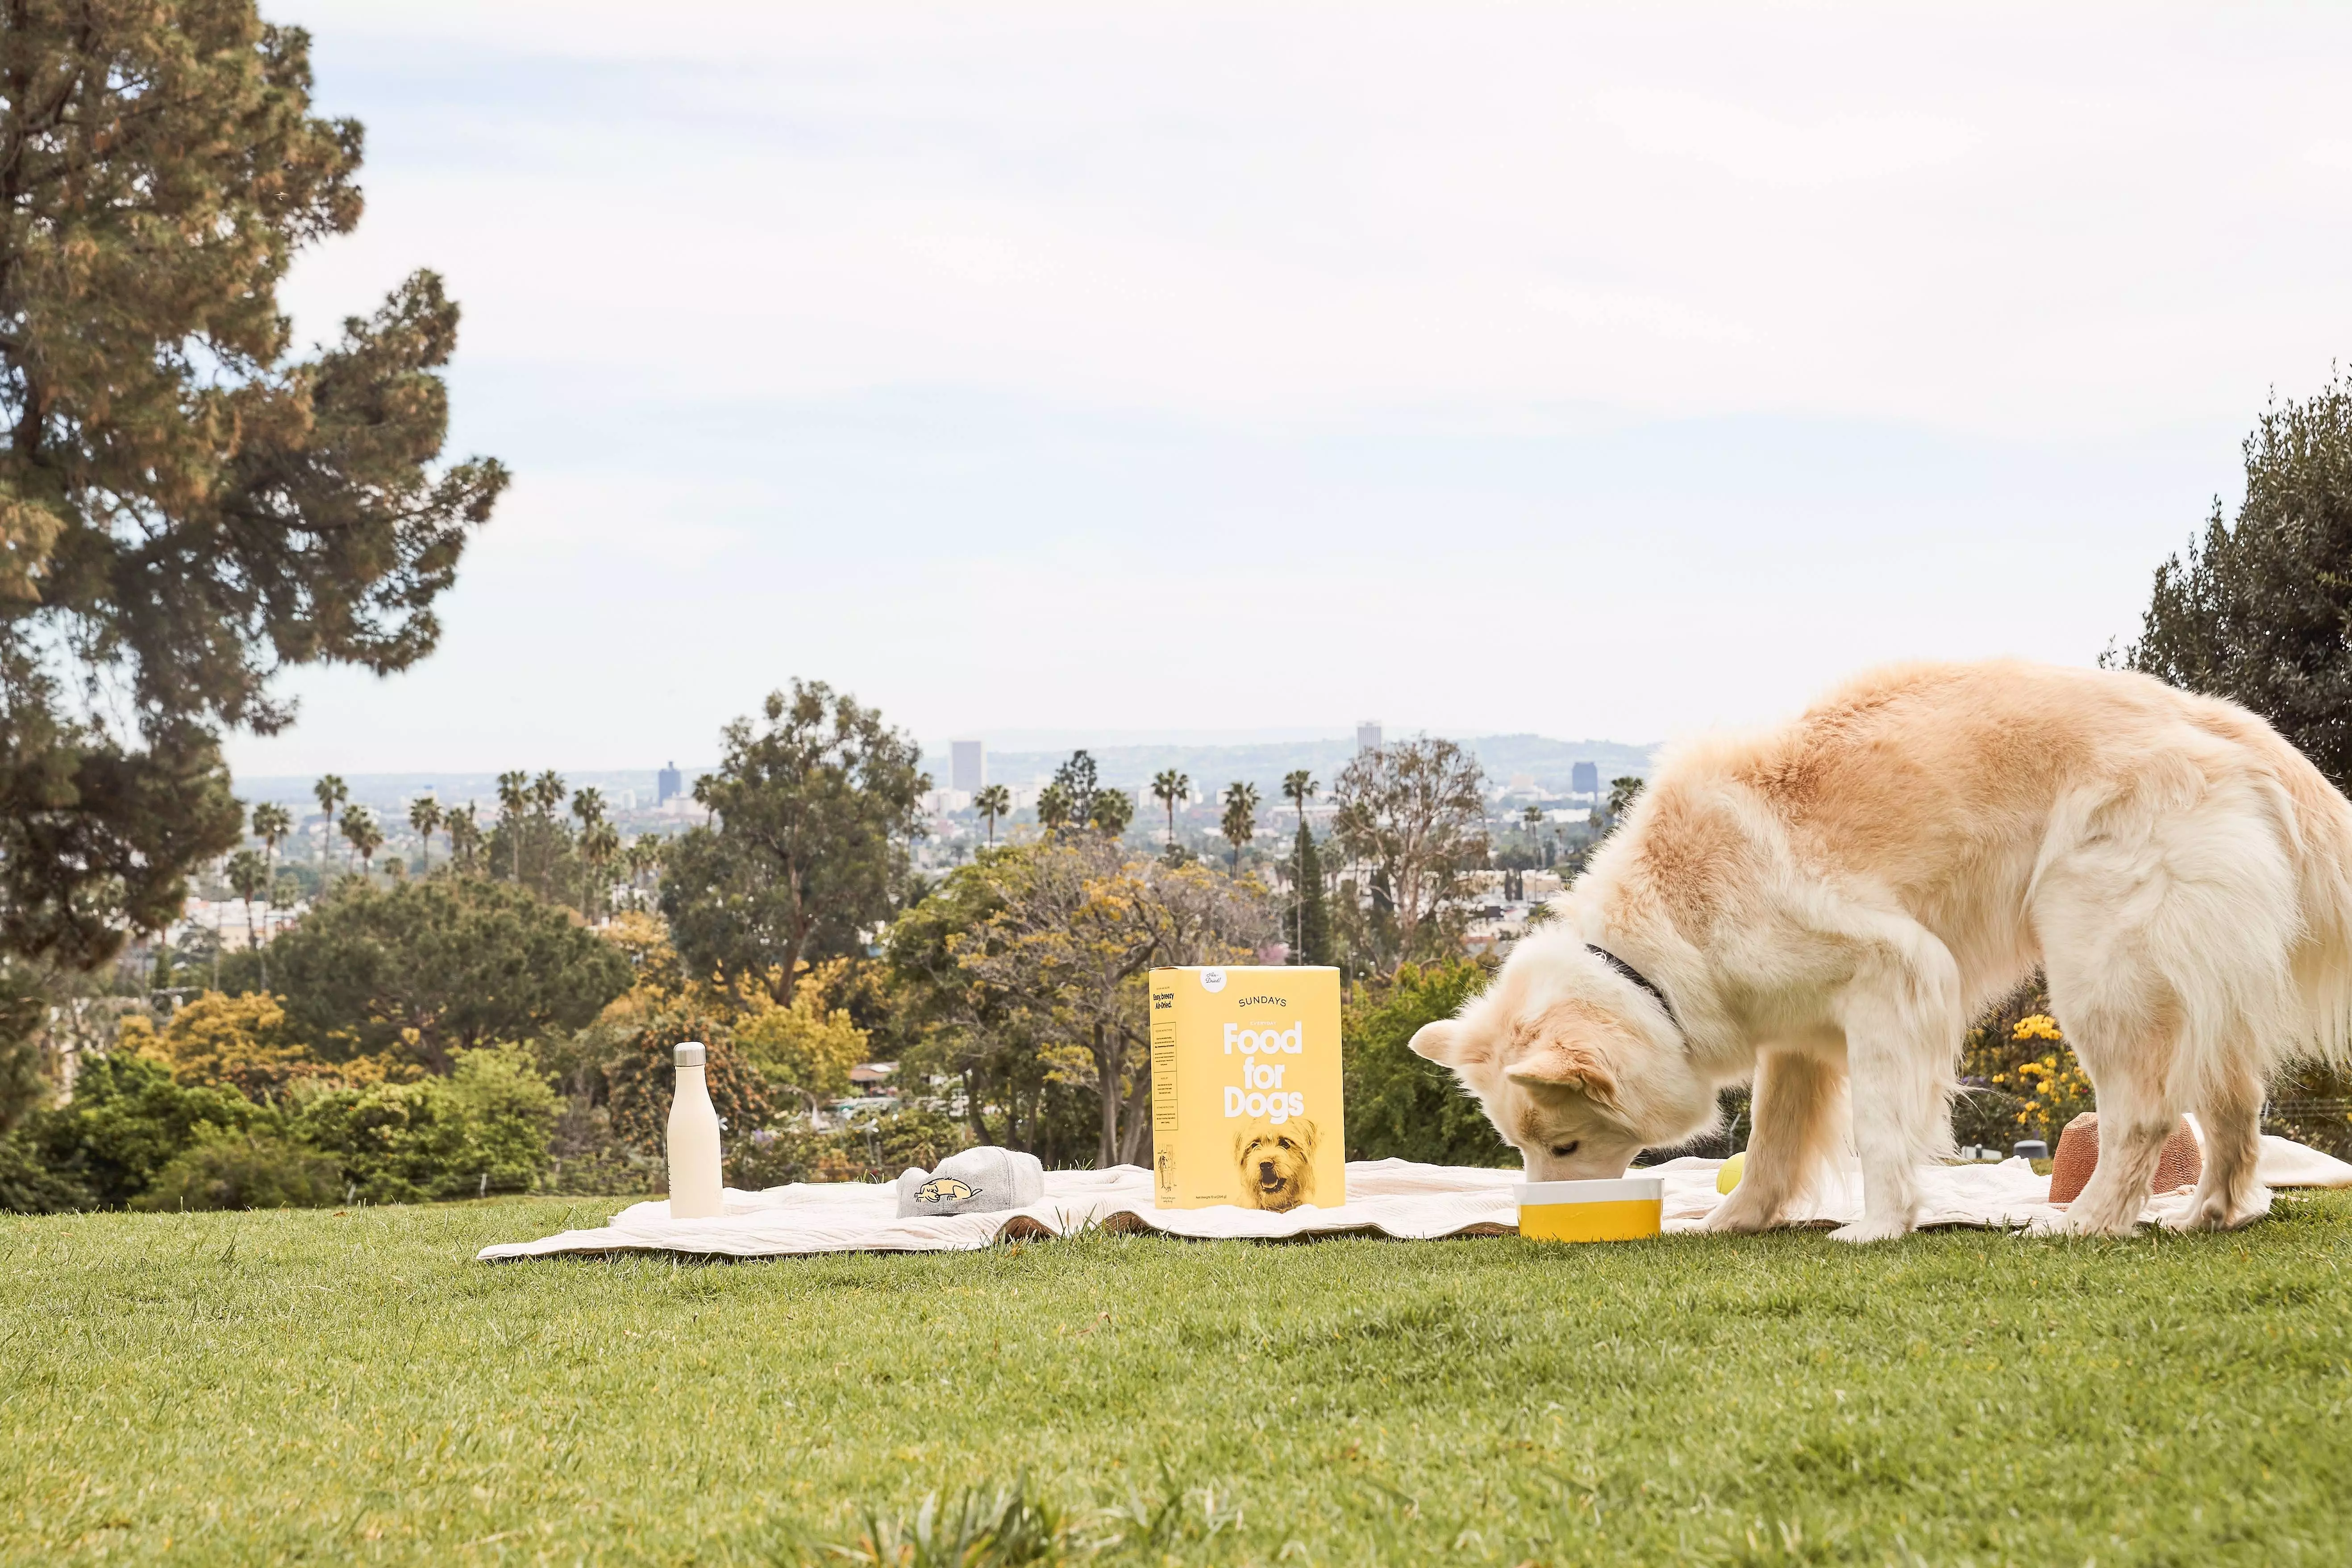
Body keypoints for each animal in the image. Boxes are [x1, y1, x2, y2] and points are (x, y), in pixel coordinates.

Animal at [1402, 663, 2352, 1241]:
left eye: (1562, 1149)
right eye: (1525, 1151)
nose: (1548, 1218)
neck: (1652, 954)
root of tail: (2221, 722)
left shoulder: (1896, 977)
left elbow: (1878, 1124)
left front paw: (1878, 1223)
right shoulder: (1790, 1033)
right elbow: (1775, 1141)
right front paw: (1739, 1218)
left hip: (2094, 969)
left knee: (2144, 1113)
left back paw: (2084, 1220)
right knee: (2233, 1099)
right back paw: (2209, 1212)